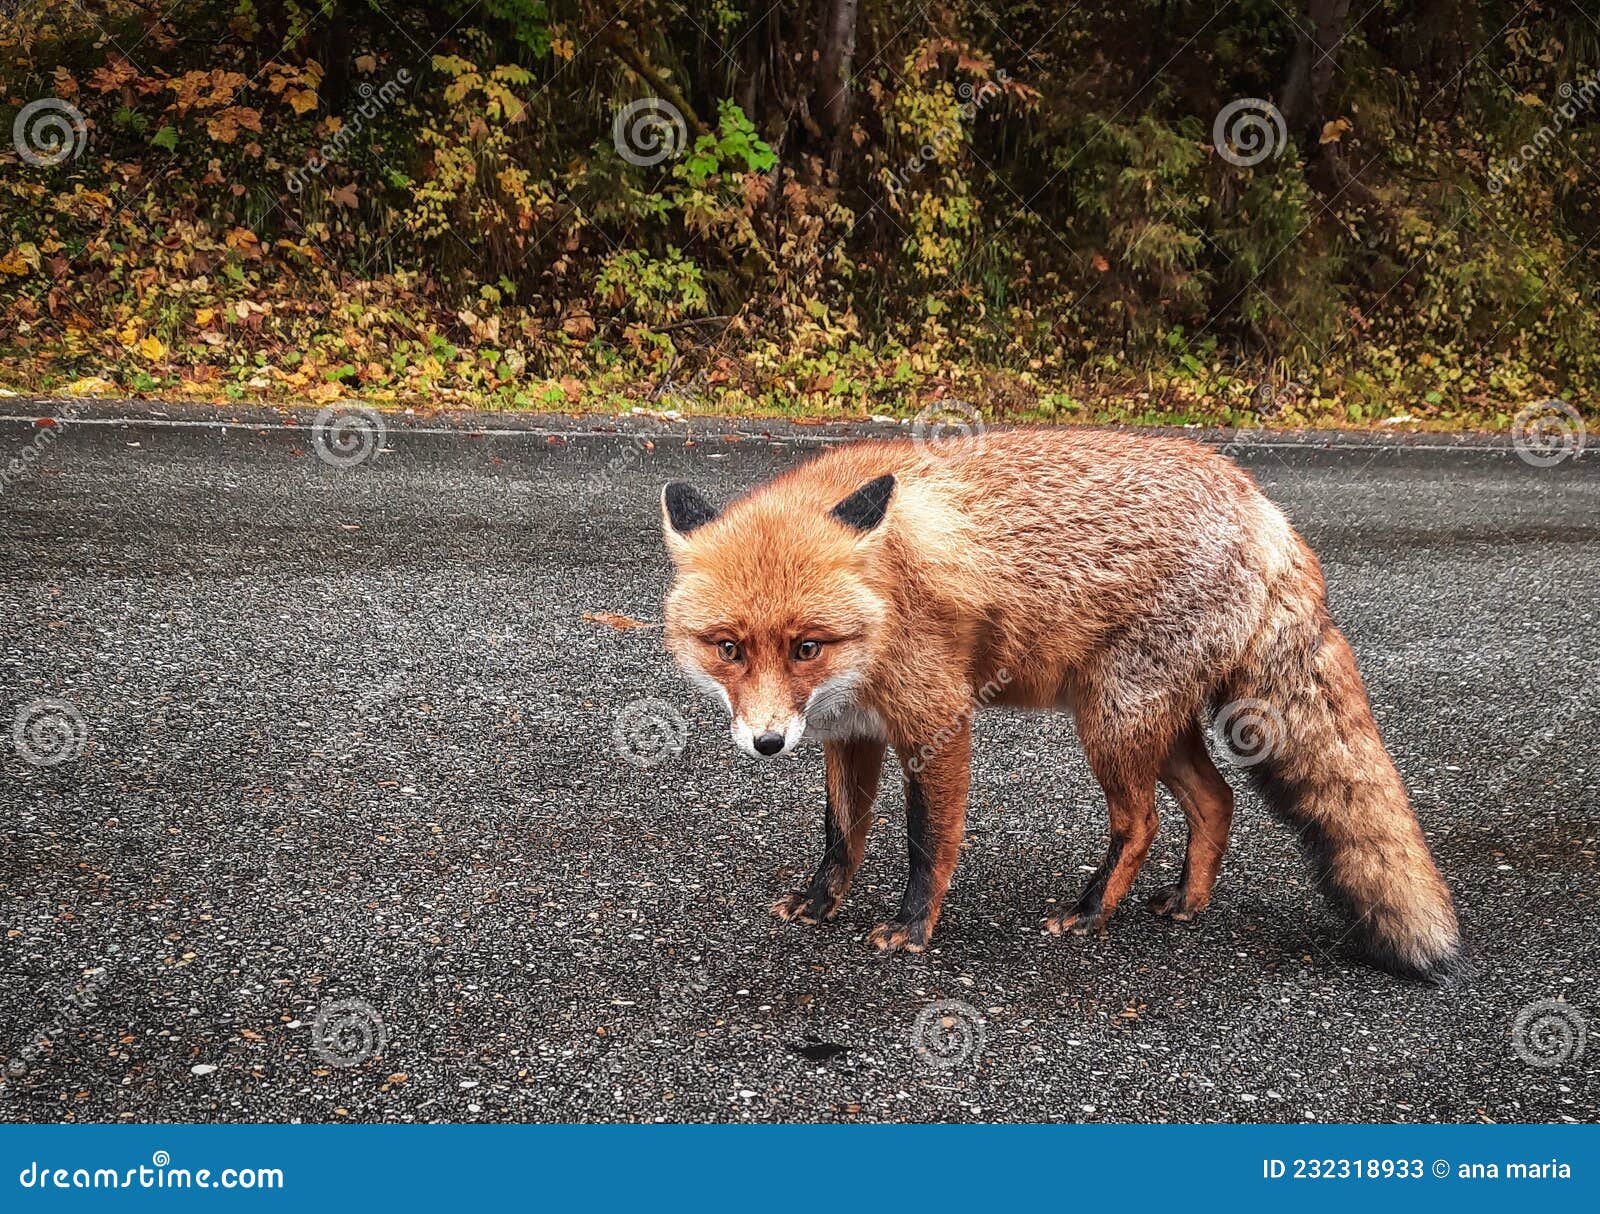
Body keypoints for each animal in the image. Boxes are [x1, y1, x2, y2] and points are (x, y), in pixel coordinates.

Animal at [658, 428, 1465, 982]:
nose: (766, 743)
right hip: (1151, 723)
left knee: (1141, 823)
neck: (885, 600)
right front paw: (820, 902)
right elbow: (841, 836)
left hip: (1110, 722)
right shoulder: (851, 733)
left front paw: (913, 929)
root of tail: (1264, 507)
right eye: (728, 648)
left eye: (806, 647)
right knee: (1217, 800)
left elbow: (926, 841)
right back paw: (1187, 902)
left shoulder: (935, 720)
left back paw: (1091, 911)